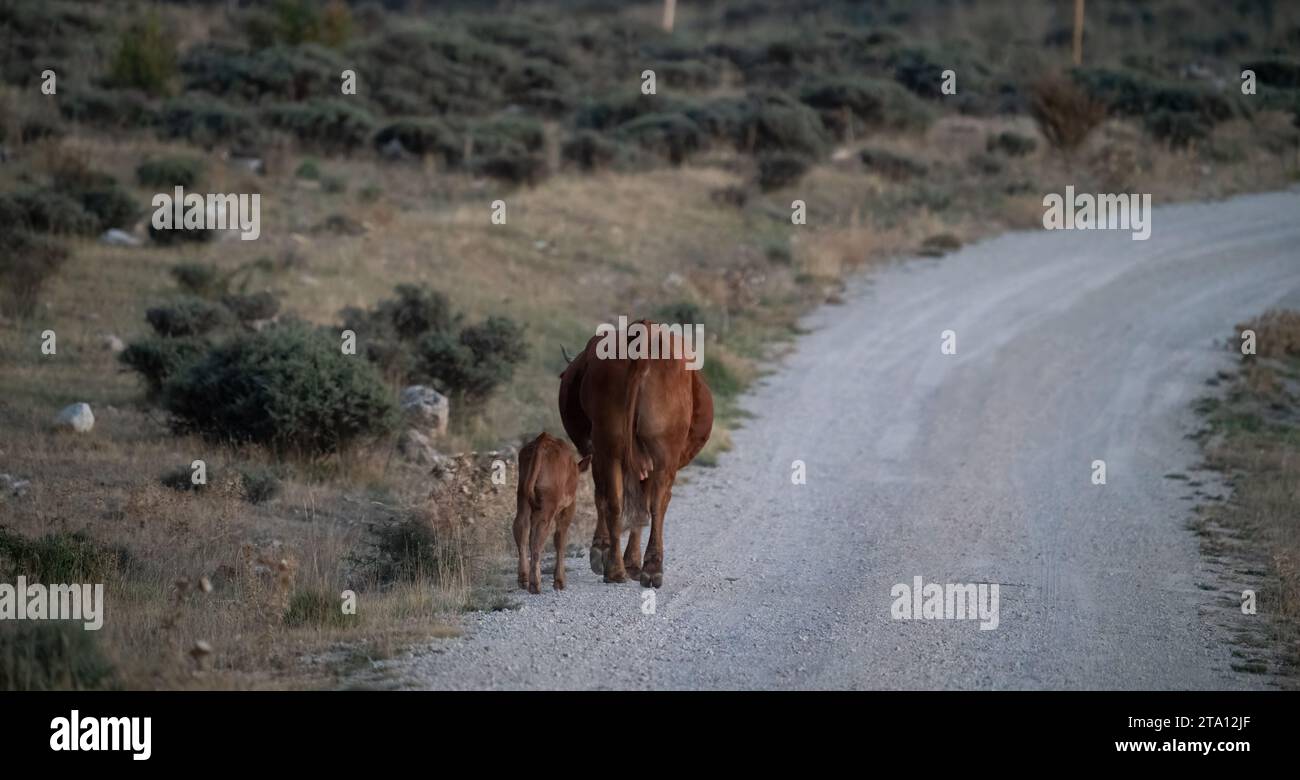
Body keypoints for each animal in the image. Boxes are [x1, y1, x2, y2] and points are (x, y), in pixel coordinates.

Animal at [514, 432, 590, 594]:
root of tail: (542, 441)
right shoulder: (569, 506)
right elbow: (560, 539)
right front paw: (559, 581)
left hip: (522, 496)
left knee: (521, 528)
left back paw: (523, 579)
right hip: (548, 503)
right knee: (539, 536)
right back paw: (535, 584)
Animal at [558, 320, 713, 588]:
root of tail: (646, 334)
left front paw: (608, 552)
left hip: (612, 449)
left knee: (617, 501)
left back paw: (619, 569)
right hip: (655, 455)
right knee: (654, 503)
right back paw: (646, 568)